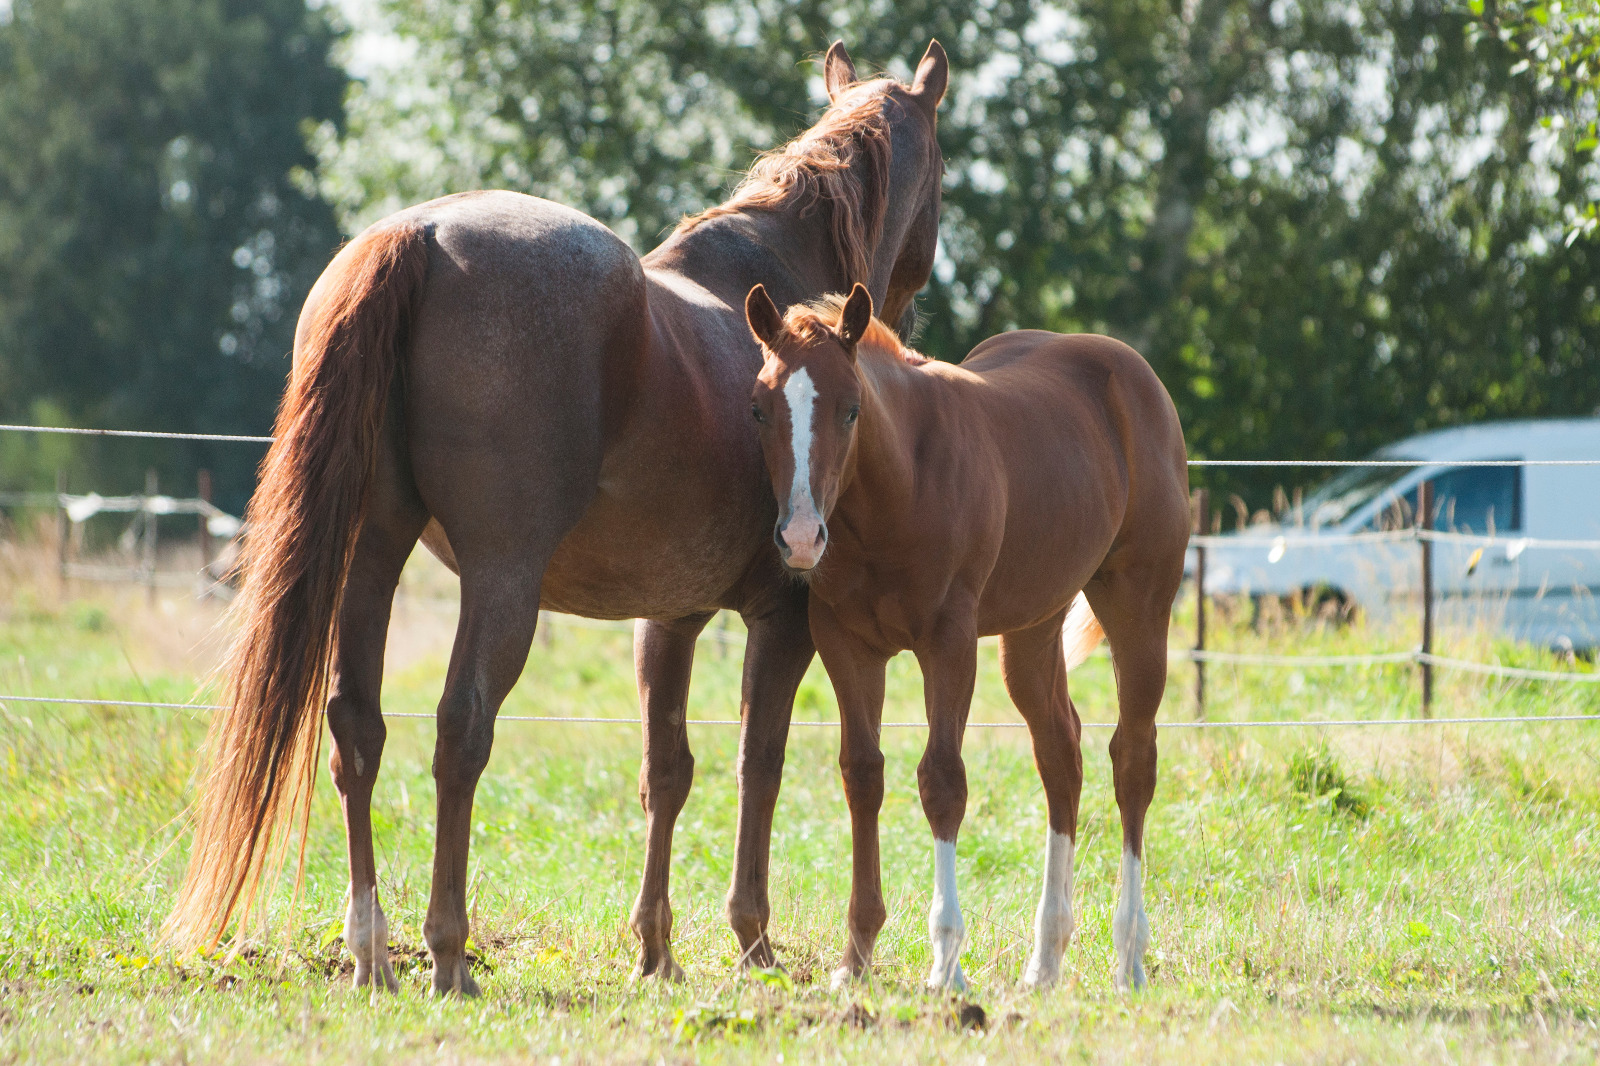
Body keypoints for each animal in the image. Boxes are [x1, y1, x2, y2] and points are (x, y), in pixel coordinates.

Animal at [161, 42, 949, 996]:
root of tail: (418, 236)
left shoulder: (670, 618)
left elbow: (667, 770)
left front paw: (656, 950)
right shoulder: (781, 615)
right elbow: (758, 762)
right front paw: (752, 943)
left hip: (372, 554)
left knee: (358, 727)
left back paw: (371, 952)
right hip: (503, 580)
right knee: (461, 728)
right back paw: (447, 951)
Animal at [742, 283, 1189, 991]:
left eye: (850, 410)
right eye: (760, 409)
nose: (802, 537)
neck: (896, 492)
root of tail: (1134, 373)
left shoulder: (948, 643)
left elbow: (943, 781)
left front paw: (947, 963)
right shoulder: (846, 645)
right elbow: (862, 774)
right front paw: (855, 959)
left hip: (1139, 608)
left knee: (1133, 761)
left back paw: (1129, 959)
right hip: (1032, 630)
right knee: (1061, 754)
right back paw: (1045, 960)